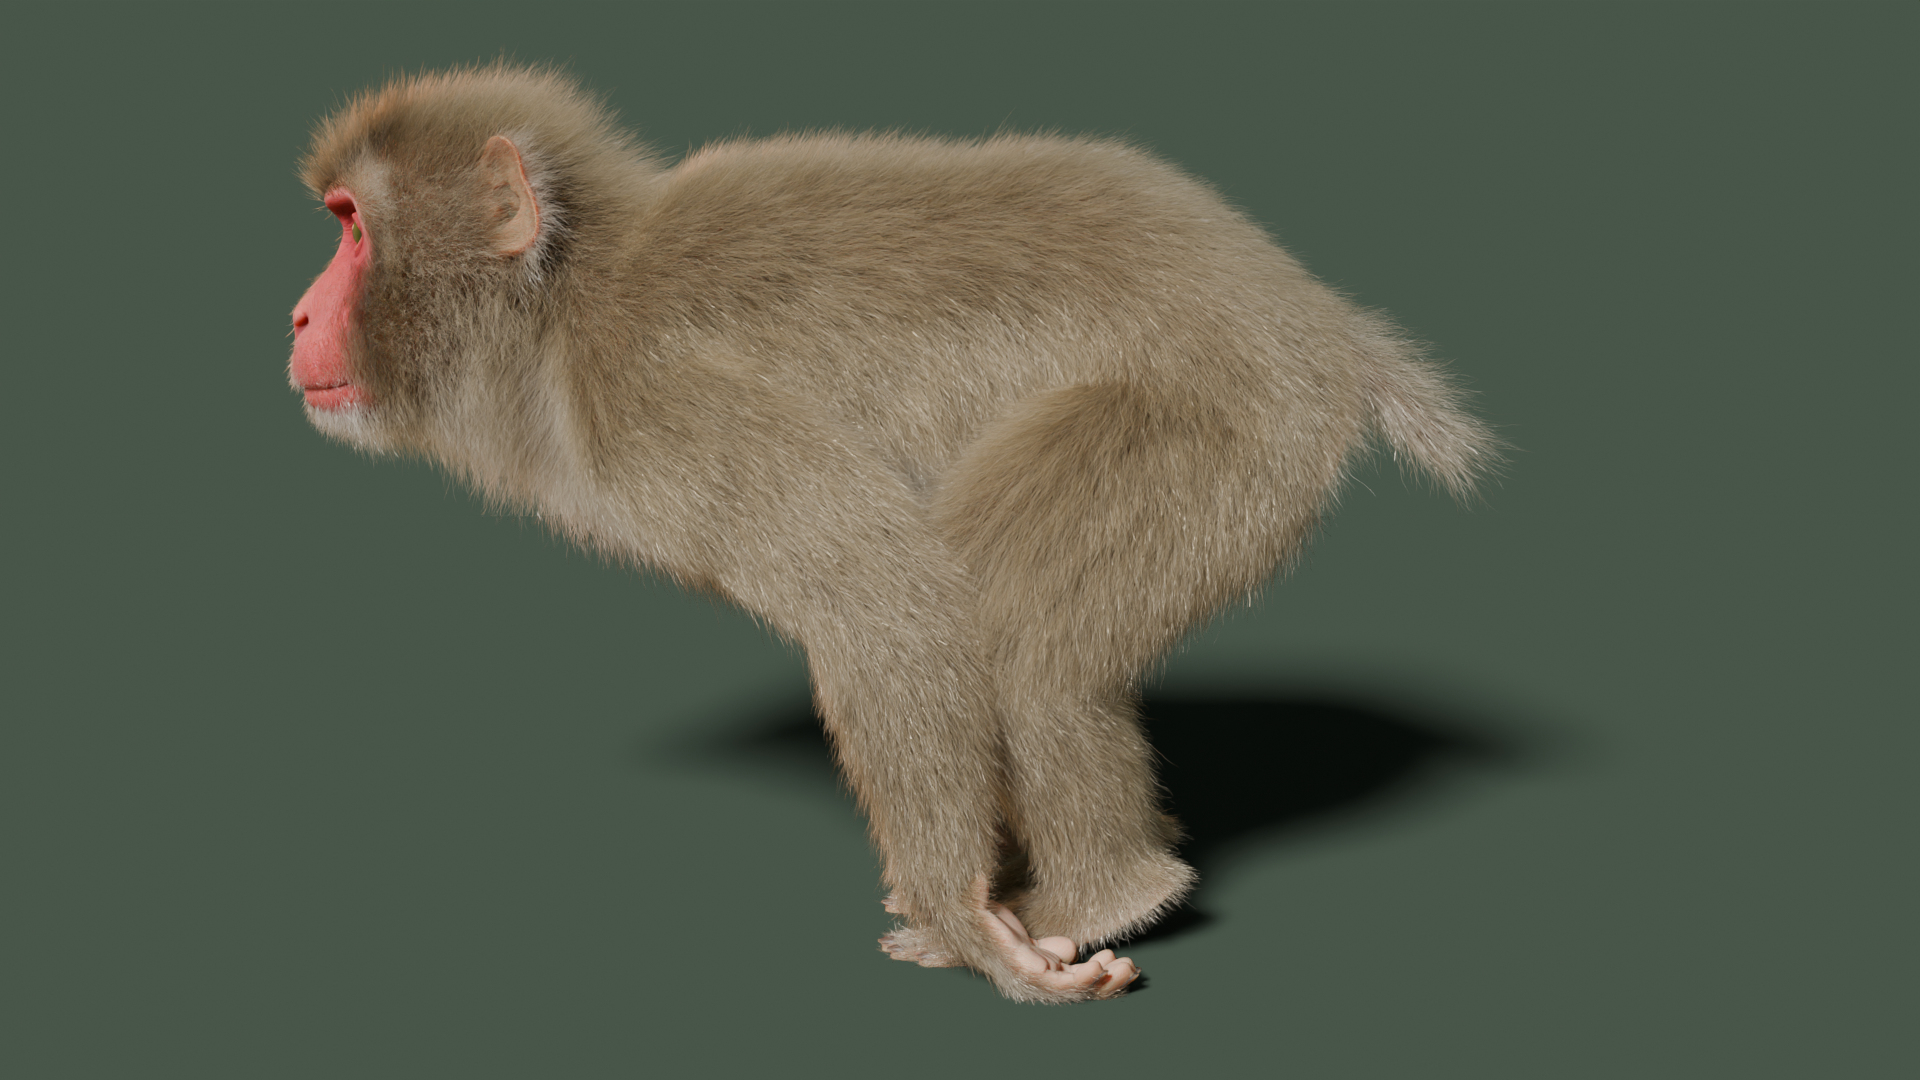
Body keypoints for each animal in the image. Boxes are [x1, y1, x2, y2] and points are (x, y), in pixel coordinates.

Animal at [285, 64, 1497, 1003]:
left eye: (350, 228)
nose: (297, 314)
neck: (564, 311)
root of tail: (1311, 318)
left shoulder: (663, 402)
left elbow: (882, 599)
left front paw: (965, 924)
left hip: (1221, 431)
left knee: (1017, 633)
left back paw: (1104, 895)